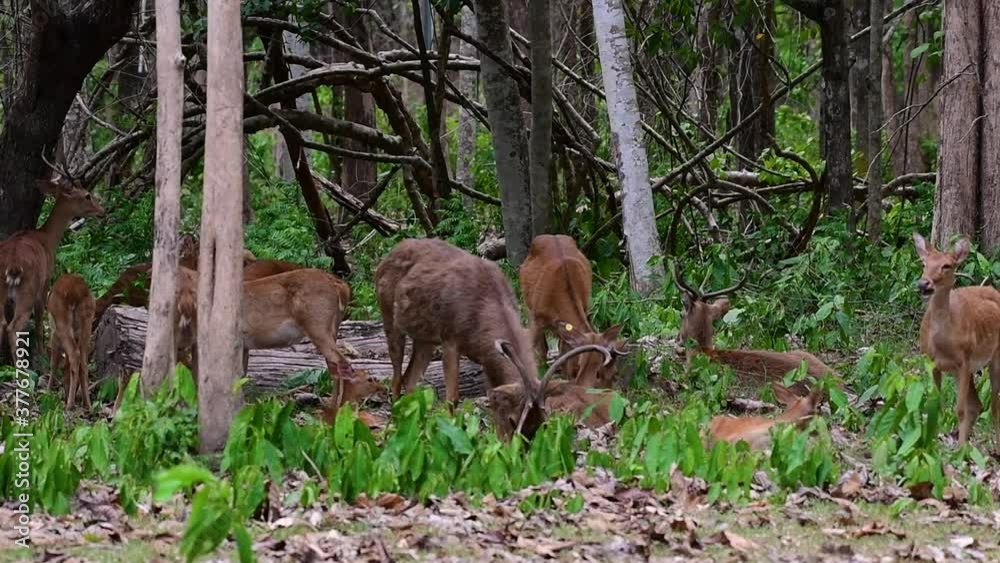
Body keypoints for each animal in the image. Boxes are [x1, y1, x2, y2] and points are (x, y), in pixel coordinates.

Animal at [0, 162, 104, 362]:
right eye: (87, 195)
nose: (102, 210)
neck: (47, 238)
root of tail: (12, 266)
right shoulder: (45, 281)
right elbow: (40, 321)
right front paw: (42, 354)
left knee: (1, 322)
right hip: (28, 290)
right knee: (14, 327)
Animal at [46, 274, 96, 409]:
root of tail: (76, 292)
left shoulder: (54, 334)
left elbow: (53, 363)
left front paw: (47, 390)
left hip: (62, 321)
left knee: (74, 354)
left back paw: (70, 404)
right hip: (87, 320)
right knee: (83, 362)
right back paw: (87, 404)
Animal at [375, 238, 614, 439]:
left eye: (541, 423)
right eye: (513, 420)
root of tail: (387, 256)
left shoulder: (486, 357)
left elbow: (491, 394)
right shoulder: (450, 337)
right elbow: (452, 398)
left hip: (425, 340)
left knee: (410, 379)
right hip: (389, 316)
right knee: (396, 377)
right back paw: (393, 427)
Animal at [519, 234, 628, 389]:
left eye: (614, 374)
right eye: (598, 373)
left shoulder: (585, 309)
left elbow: (567, 360)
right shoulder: (537, 319)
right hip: (527, 304)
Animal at [913, 233, 1000, 446]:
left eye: (947, 265)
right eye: (924, 263)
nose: (923, 284)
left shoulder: (964, 361)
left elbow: (959, 410)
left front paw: (958, 449)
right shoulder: (933, 363)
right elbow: (937, 405)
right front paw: (934, 443)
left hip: (994, 358)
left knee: (994, 407)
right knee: (977, 404)